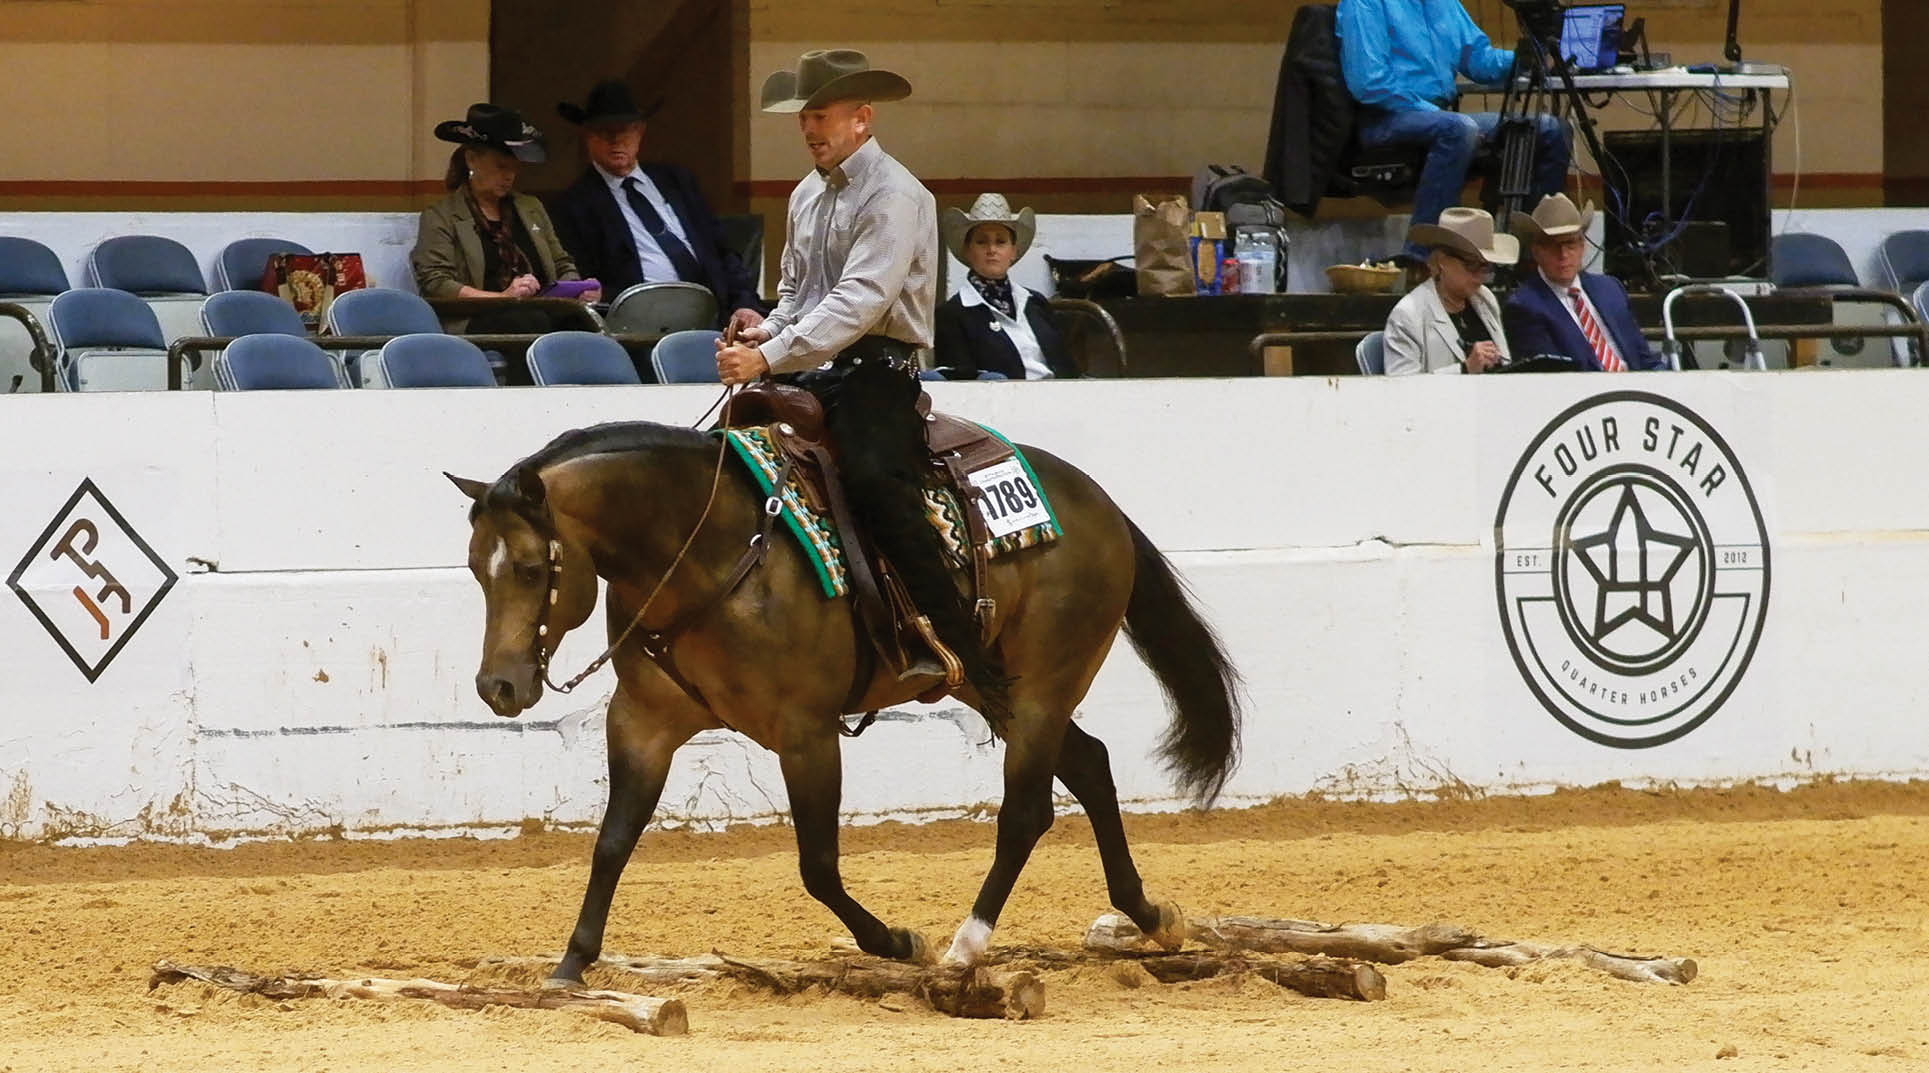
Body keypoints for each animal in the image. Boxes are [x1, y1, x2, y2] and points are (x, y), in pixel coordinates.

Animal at [447, 417, 1241, 983]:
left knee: (1025, 811)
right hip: (994, 685)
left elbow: (817, 864)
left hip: (1045, 682)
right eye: (476, 569)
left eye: (528, 567)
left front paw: (895, 939)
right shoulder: (642, 721)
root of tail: (1099, 502)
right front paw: (572, 963)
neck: (707, 548)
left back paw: (965, 944)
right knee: (1091, 766)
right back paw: (1150, 915)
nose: (498, 686)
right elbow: (612, 841)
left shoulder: (805, 733)